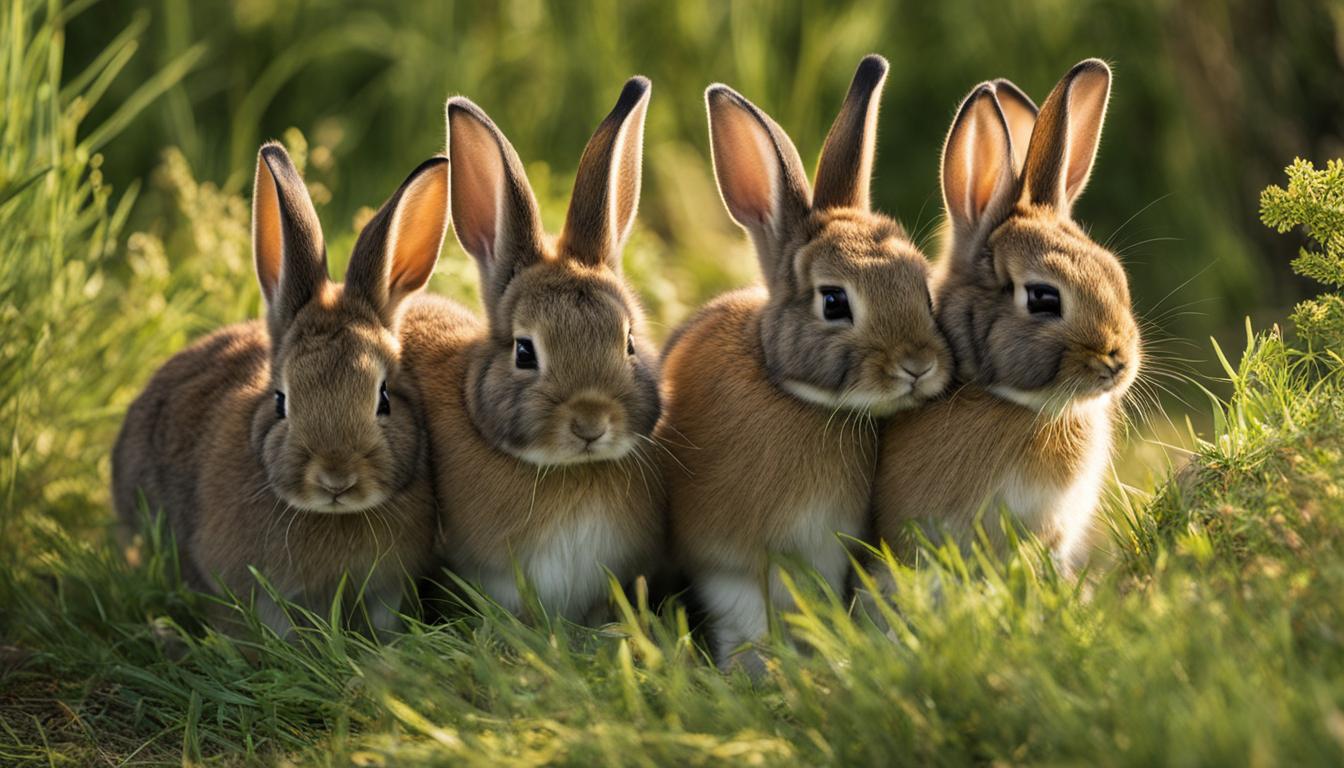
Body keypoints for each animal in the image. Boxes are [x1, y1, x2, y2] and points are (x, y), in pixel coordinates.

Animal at [655, 55, 953, 671]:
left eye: (923, 289)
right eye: (834, 302)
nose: (918, 365)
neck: (794, 394)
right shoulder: (724, 561)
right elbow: (742, 615)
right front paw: (753, 671)